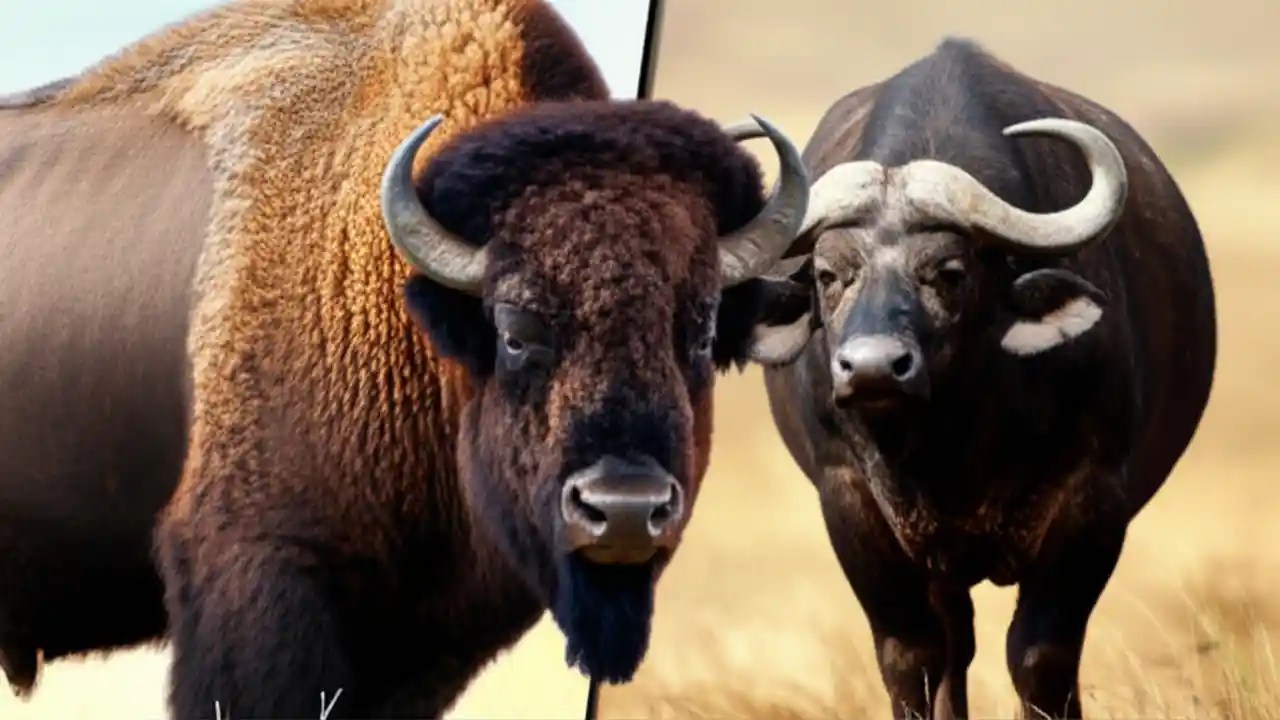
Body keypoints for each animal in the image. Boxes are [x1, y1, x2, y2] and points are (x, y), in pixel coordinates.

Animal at [751, 38, 1216, 719]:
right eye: (827, 274)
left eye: (949, 272)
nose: (873, 368)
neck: (951, 447)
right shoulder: (849, 501)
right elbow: (911, 657)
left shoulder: (1094, 498)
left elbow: (1040, 657)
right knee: (953, 645)